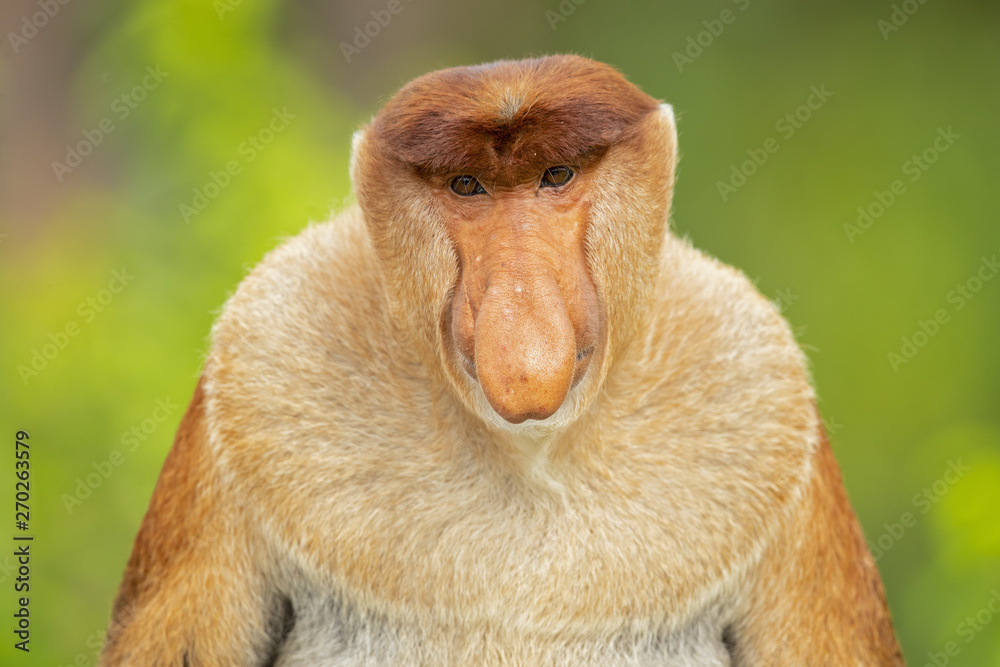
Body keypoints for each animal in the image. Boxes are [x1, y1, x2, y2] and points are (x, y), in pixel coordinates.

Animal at [102, 55, 903, 666]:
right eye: (468, 186)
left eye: (556, 175)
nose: (520, 327)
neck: (530, 453)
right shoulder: (257, 355)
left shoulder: (765, 385)